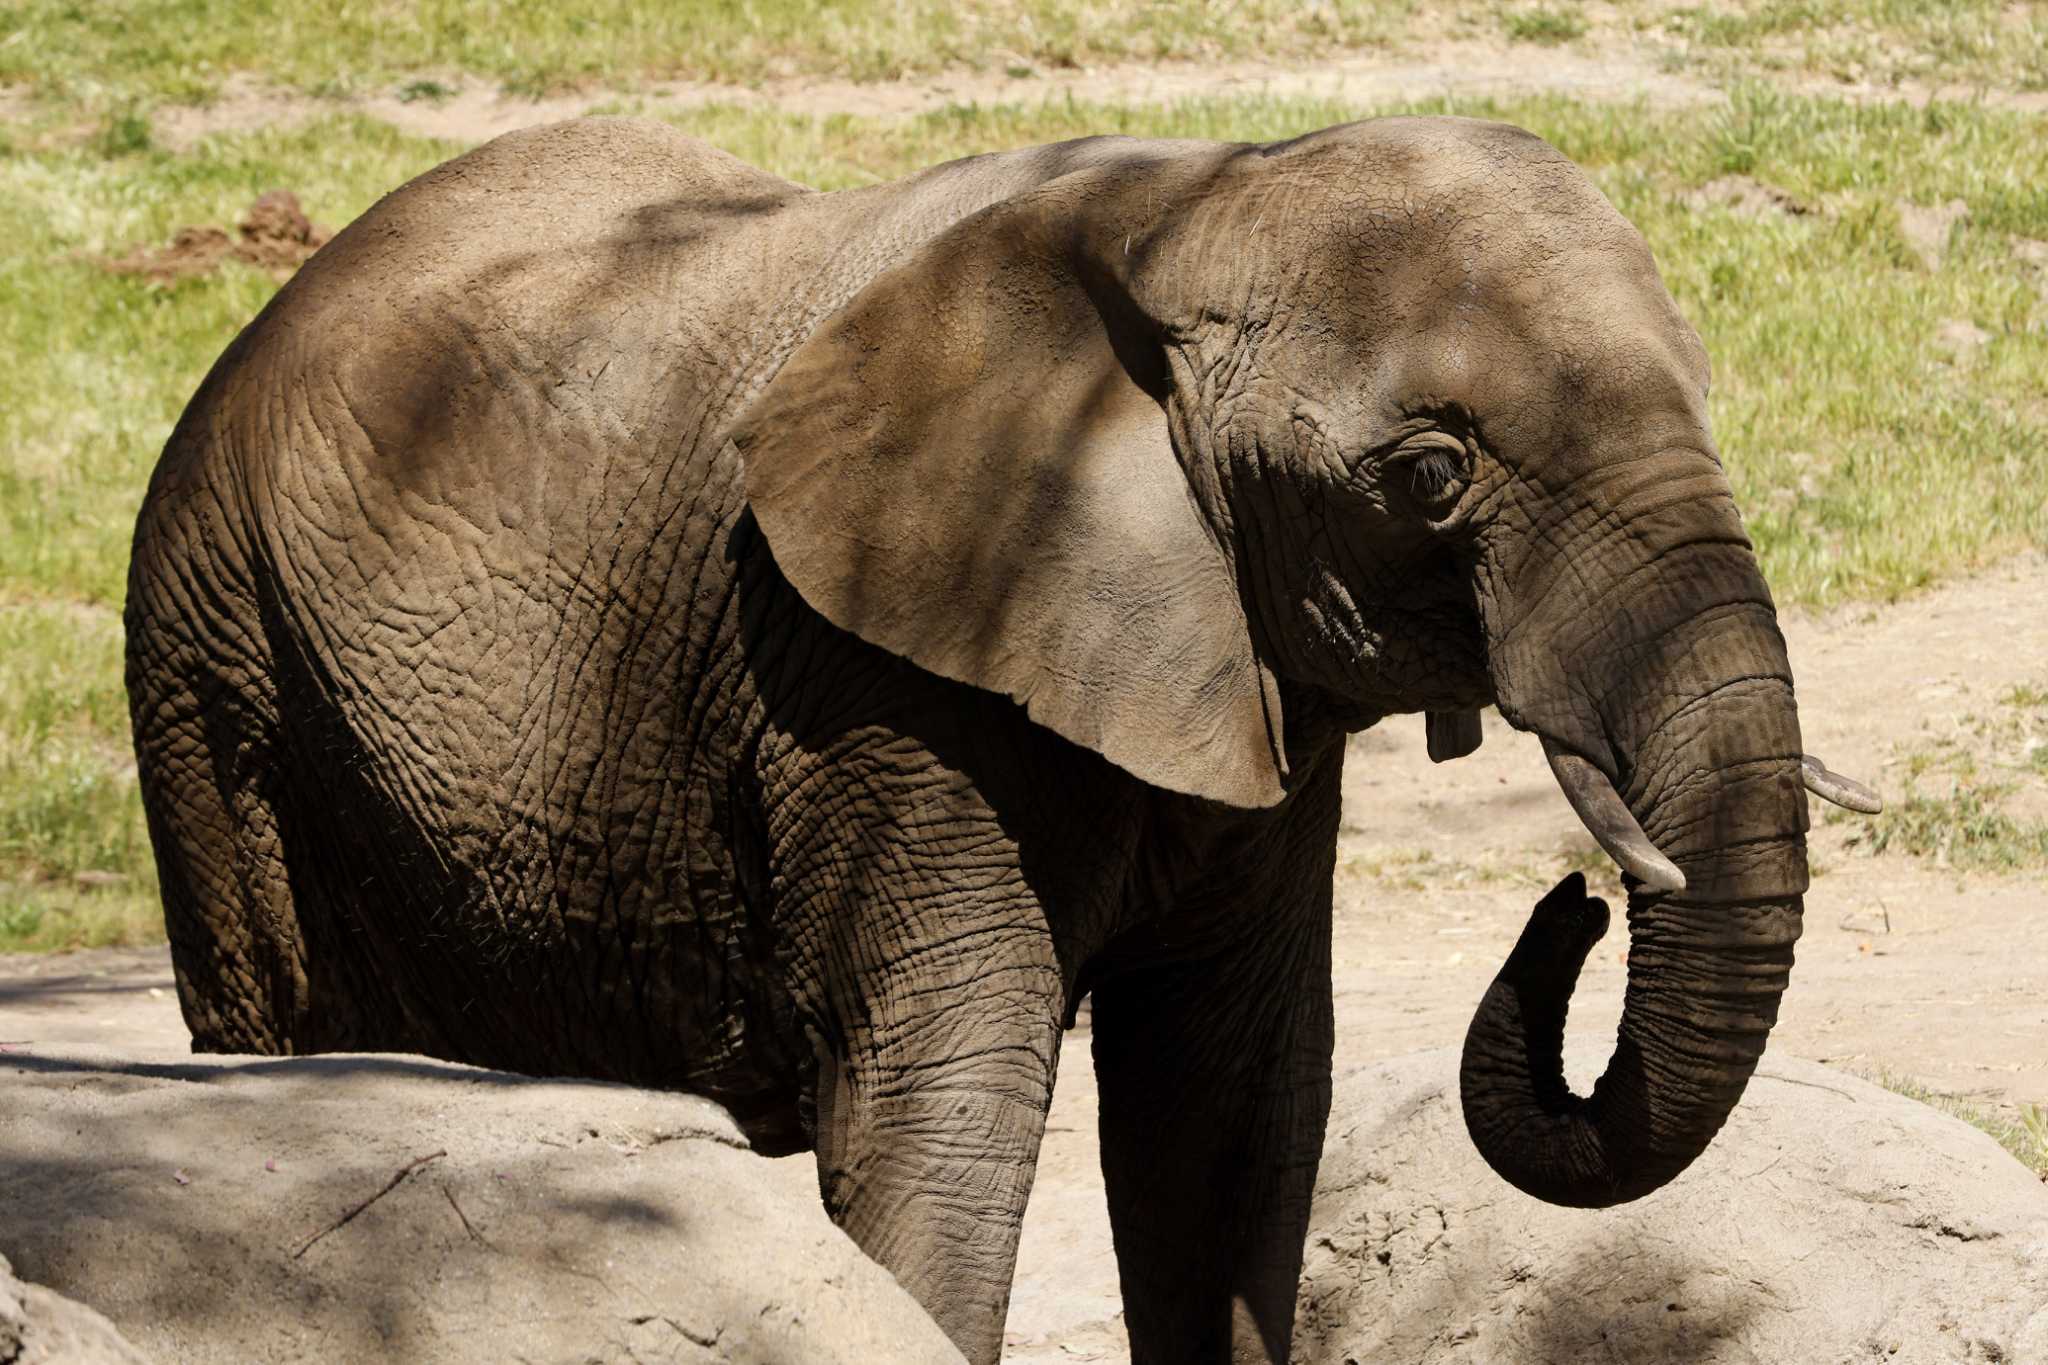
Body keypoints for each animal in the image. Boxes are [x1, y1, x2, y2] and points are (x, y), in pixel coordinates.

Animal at [124, 115, 1881, 1363]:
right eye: (1432, 474)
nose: (1574, 902)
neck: (1207, 192)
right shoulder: (876, 685)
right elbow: (944, 1114)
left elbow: (1230, 1107)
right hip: (213, 672)